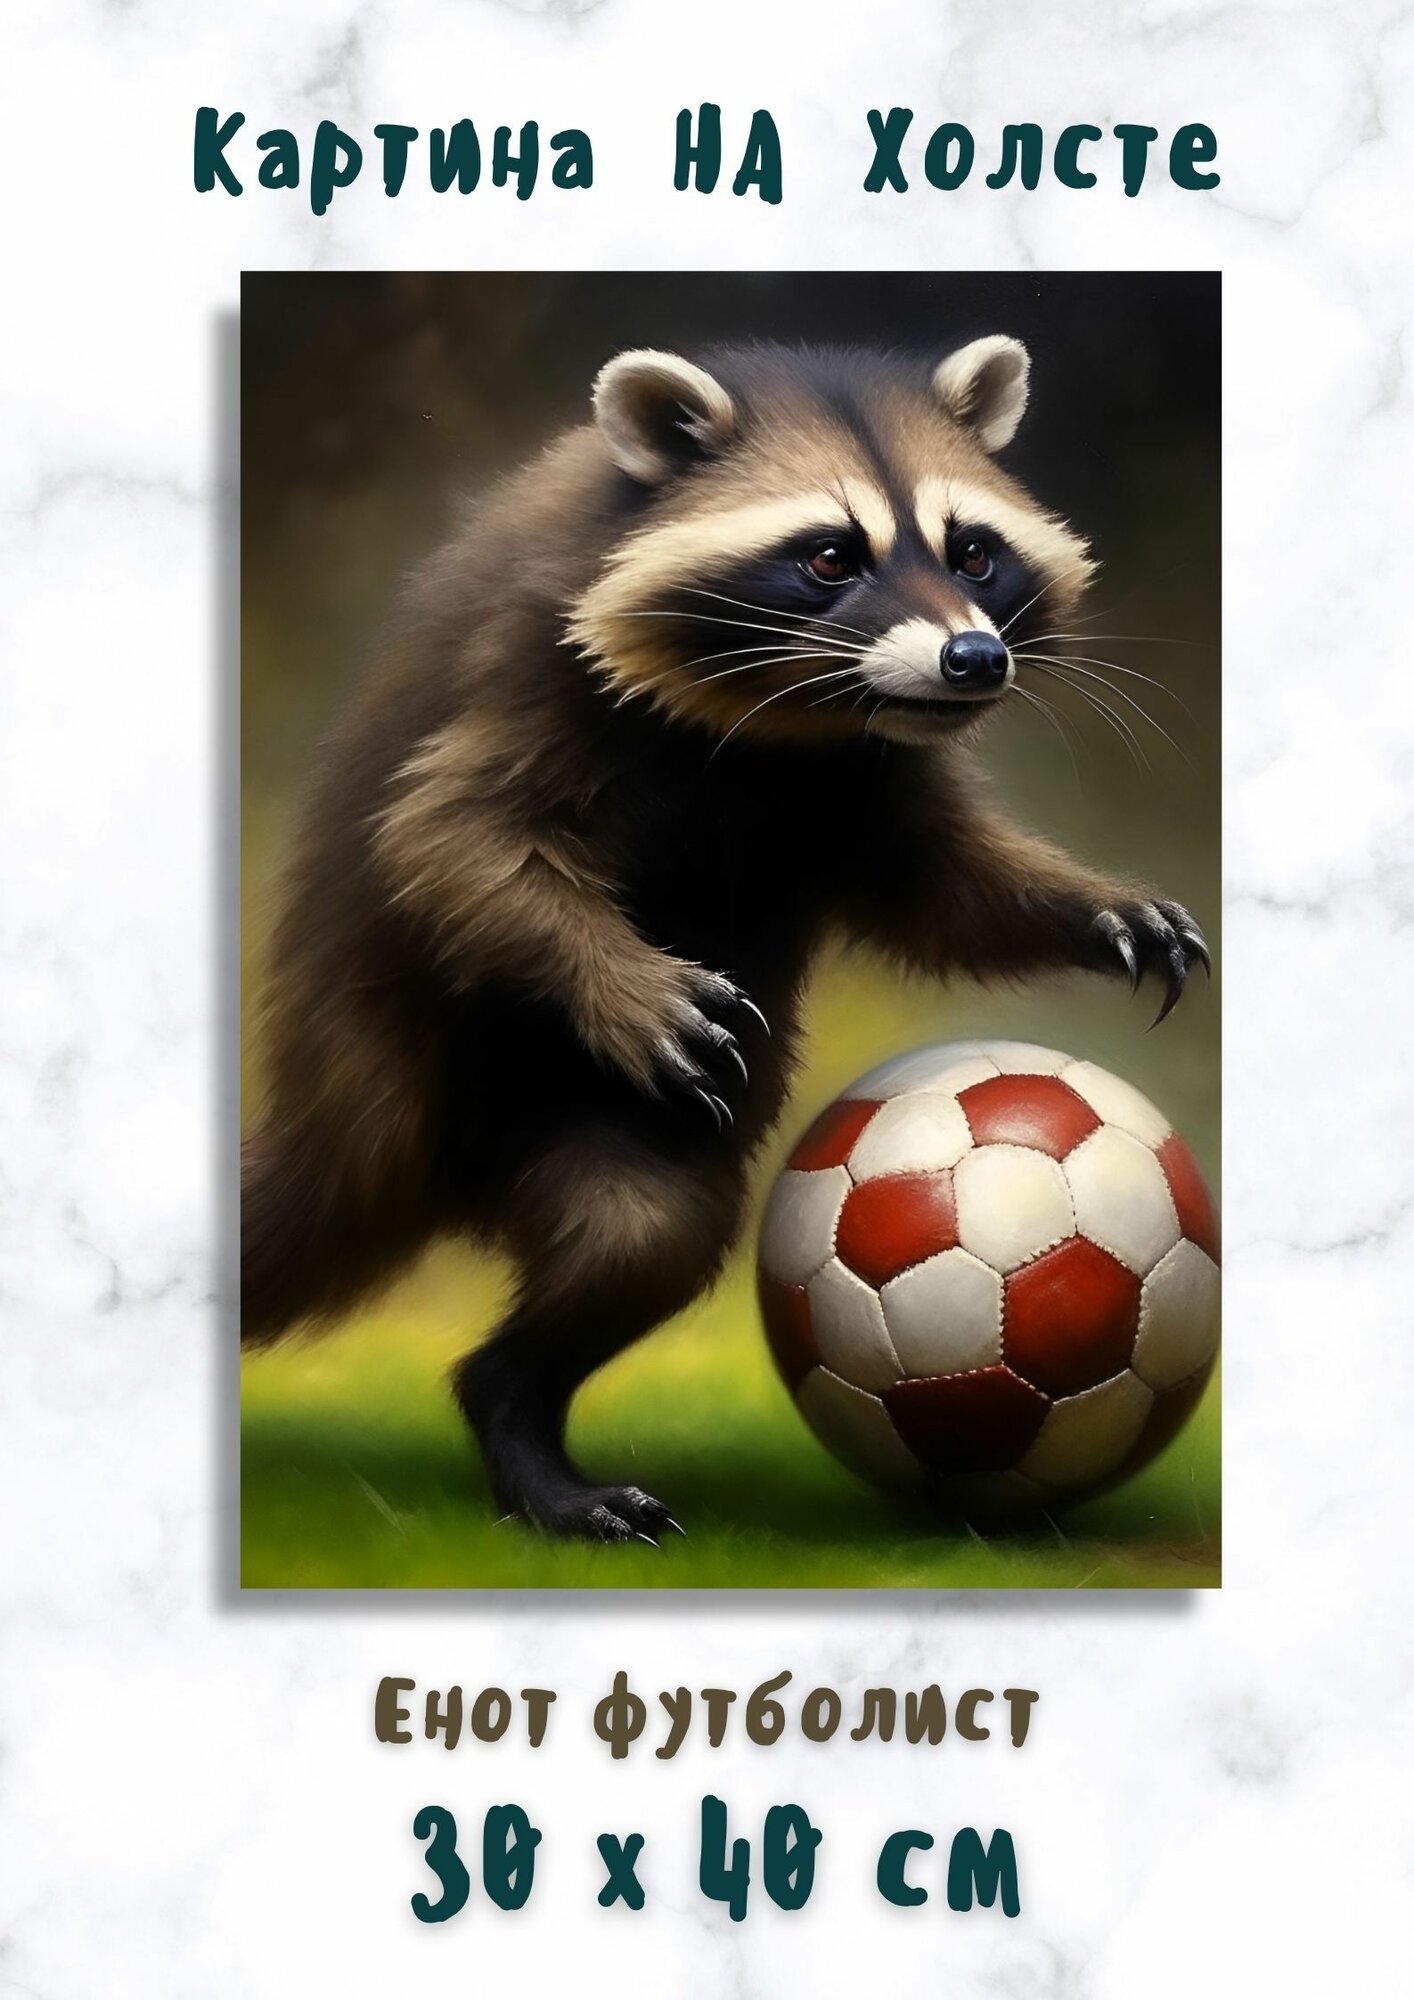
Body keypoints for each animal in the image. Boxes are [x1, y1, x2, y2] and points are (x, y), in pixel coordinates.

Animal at [241, 334, 1209, 1541]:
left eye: (973, 551)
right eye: (831, 555)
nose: (975, 659)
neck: (792, 723)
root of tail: (370, 1135)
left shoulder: (864, 777)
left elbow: (947, 890)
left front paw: (1088, 902)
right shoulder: (525, 671)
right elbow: (453, 839)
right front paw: (616, 977)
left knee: (645, 1235)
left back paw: (524, 1394)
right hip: (442, 1047)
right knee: (626, 1239)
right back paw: (526, 1427)